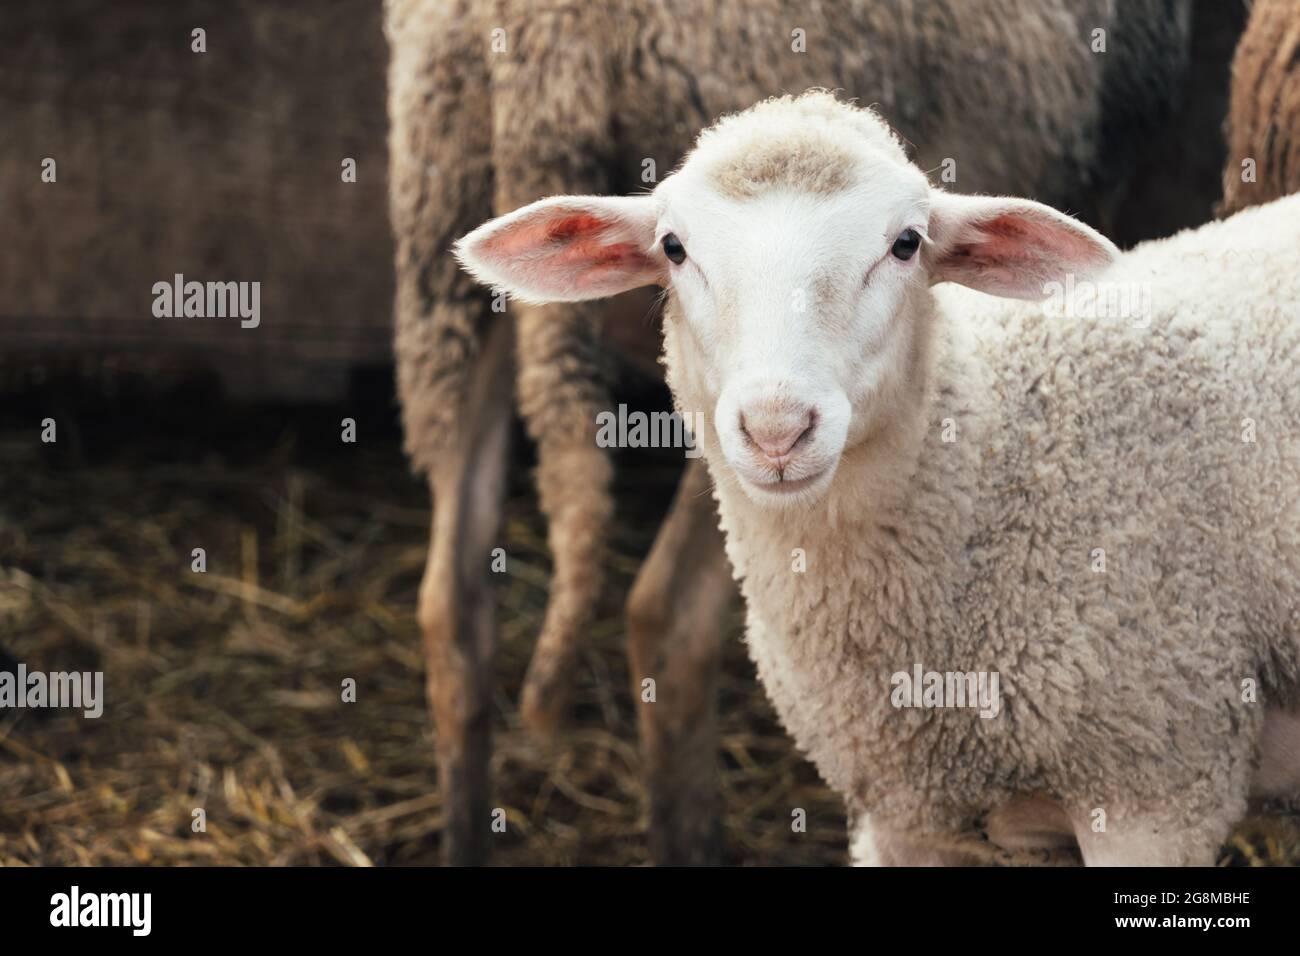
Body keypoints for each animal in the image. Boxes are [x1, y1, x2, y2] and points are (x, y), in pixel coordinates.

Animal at [385, 0, 1208, 865]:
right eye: (674, 247)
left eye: (906, 243)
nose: (778, 429)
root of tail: (545, 48)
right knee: (665, 613)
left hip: (442, 252)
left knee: (451, 604)